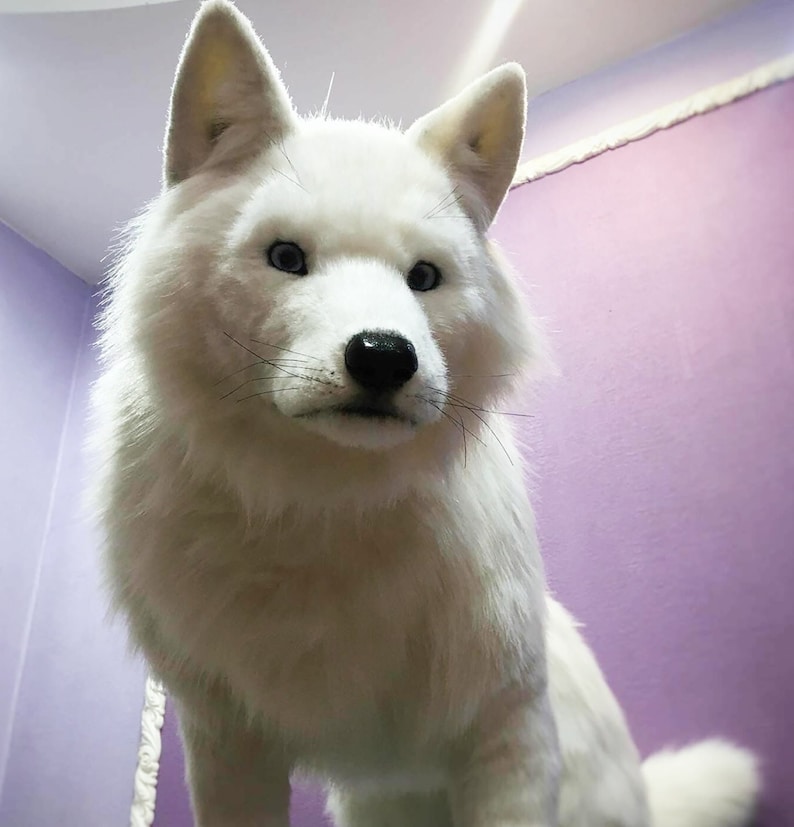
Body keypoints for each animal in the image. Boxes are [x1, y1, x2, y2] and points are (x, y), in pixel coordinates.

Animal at [90, 1, 760, 825]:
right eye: (286, 258)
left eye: (424, 277)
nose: (383, 356)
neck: (322, 507)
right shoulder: (225, 739)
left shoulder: (508, 731)